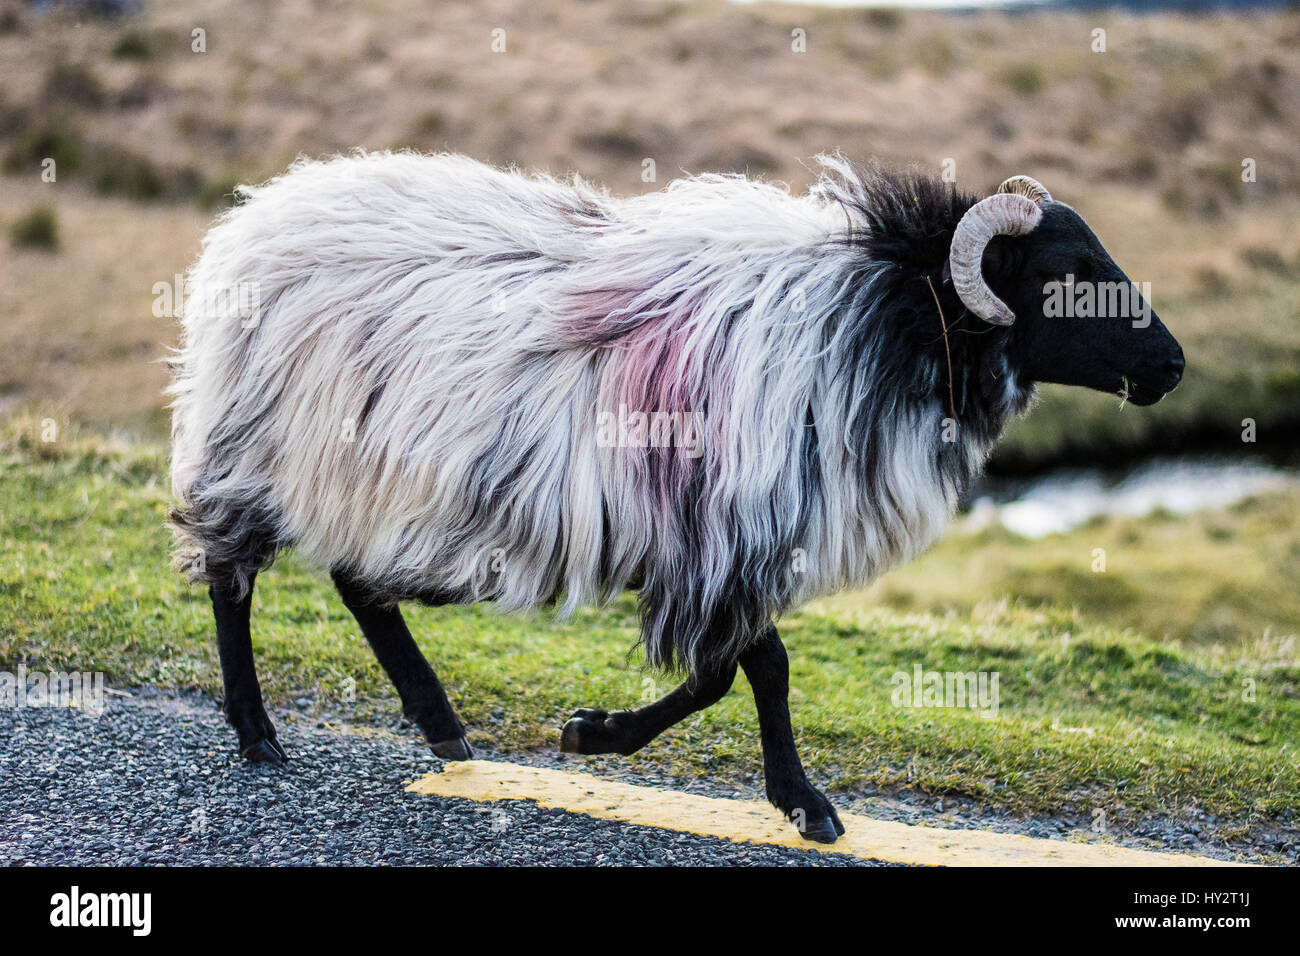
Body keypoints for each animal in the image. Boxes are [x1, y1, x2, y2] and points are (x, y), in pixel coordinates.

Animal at [168, 151, 1184, 843]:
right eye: (1071, 274)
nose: (1172, 367)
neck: (885, 321)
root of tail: (254, 216)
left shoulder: (709, 543)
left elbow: (725, 674)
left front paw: (599, 734)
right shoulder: (720, 535)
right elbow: (753, 669)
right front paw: (797, 800)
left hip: (362, 475)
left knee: (356, 583)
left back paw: (441, 725)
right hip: (257, 447)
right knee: (232, 581)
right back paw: (258, 733)